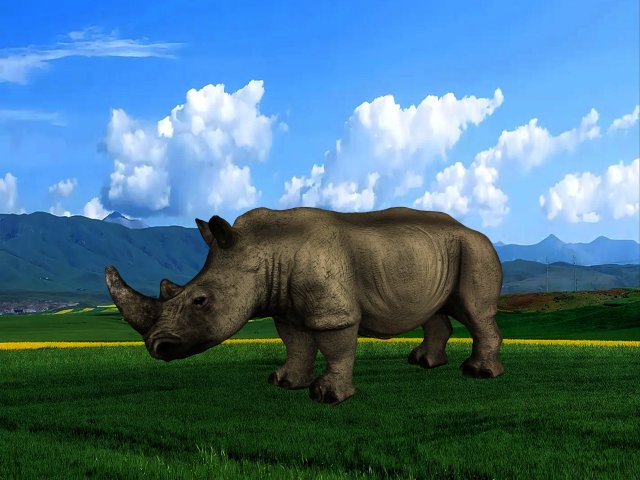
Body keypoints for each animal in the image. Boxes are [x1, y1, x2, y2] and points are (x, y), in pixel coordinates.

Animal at [105, 207, 504, 404]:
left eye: (200, 301)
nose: (156, 346)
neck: (262, 248)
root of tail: (477, 231)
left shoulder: (334, 311)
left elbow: (335, 346)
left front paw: (327, 396)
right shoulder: (284, 305)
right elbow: (295, 344)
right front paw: (284, 383)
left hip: (476, 249)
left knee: (475, 312)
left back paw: (479, 374)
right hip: (434, 253)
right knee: (436, 311)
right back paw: (423, 363)